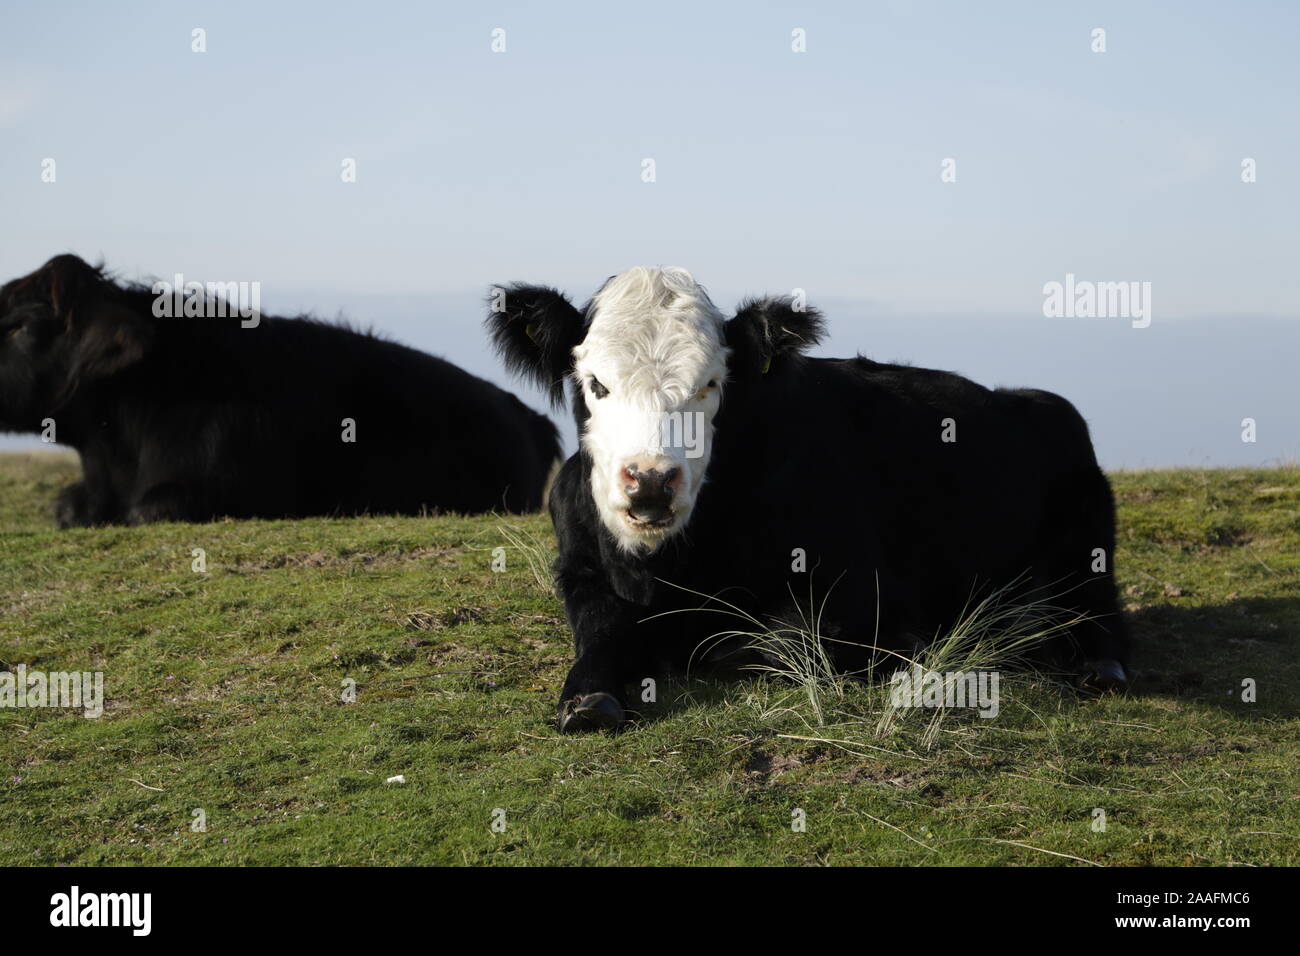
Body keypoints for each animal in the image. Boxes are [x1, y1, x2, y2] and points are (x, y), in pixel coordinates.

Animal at [487, 266, 1131, 733]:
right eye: (596, 384)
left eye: (711, 384)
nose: (649, 481)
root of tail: (1023, 397)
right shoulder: (582, 574)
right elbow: (598, 647)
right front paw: (589, 700)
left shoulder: (857, 589)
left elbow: (767, 644)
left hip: (1087, 543)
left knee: (1092, 611)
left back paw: (1091, 662)